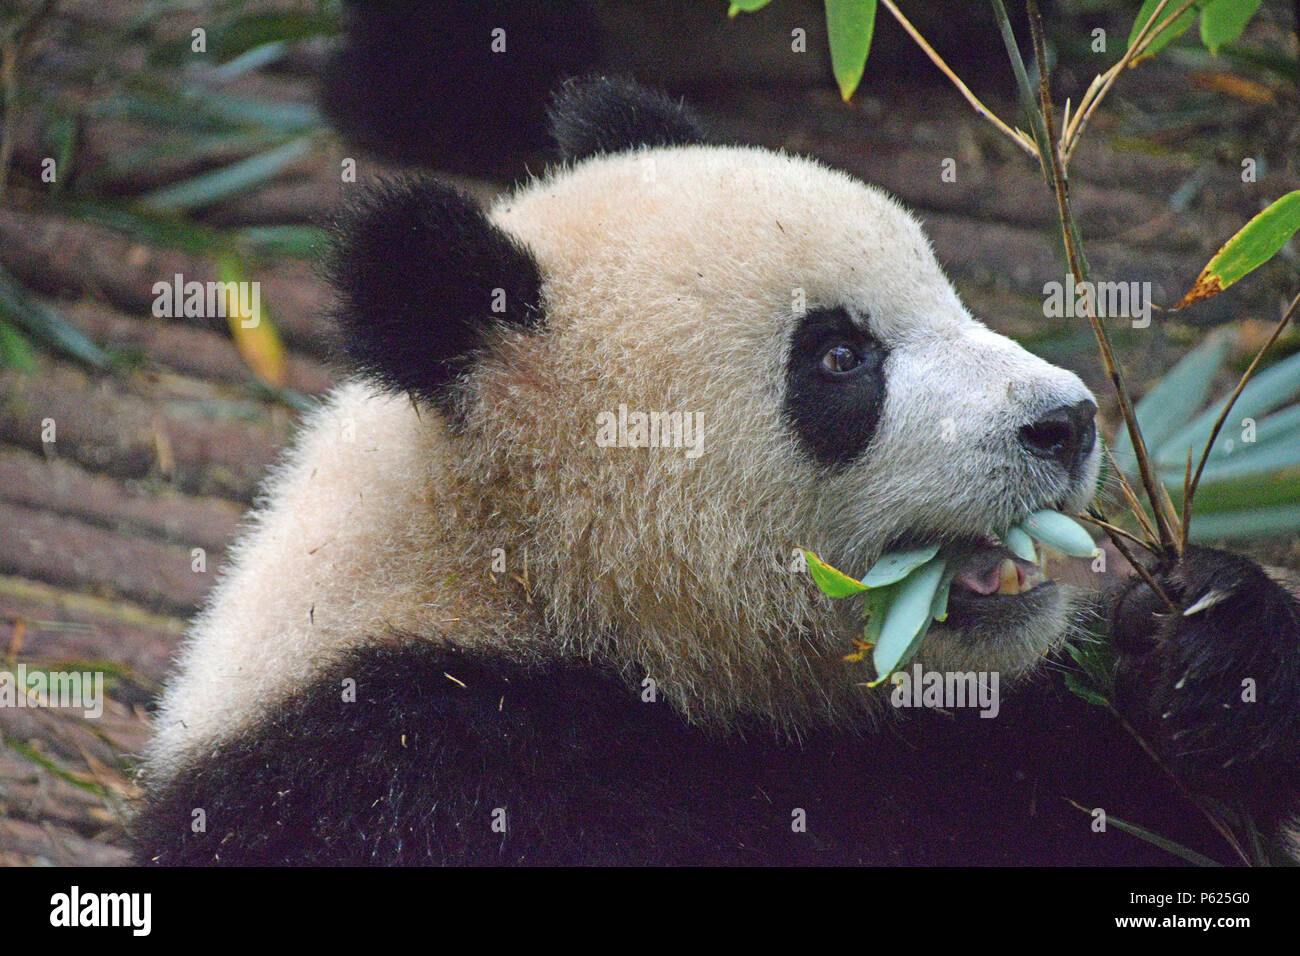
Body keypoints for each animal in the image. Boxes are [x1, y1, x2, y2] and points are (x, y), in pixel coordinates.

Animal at [132, 77, 1300, 866]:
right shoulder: (414, 769)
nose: (1065, 423)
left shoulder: (918, 743)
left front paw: (1210, 648)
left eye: (950, 293)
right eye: (840, 358)